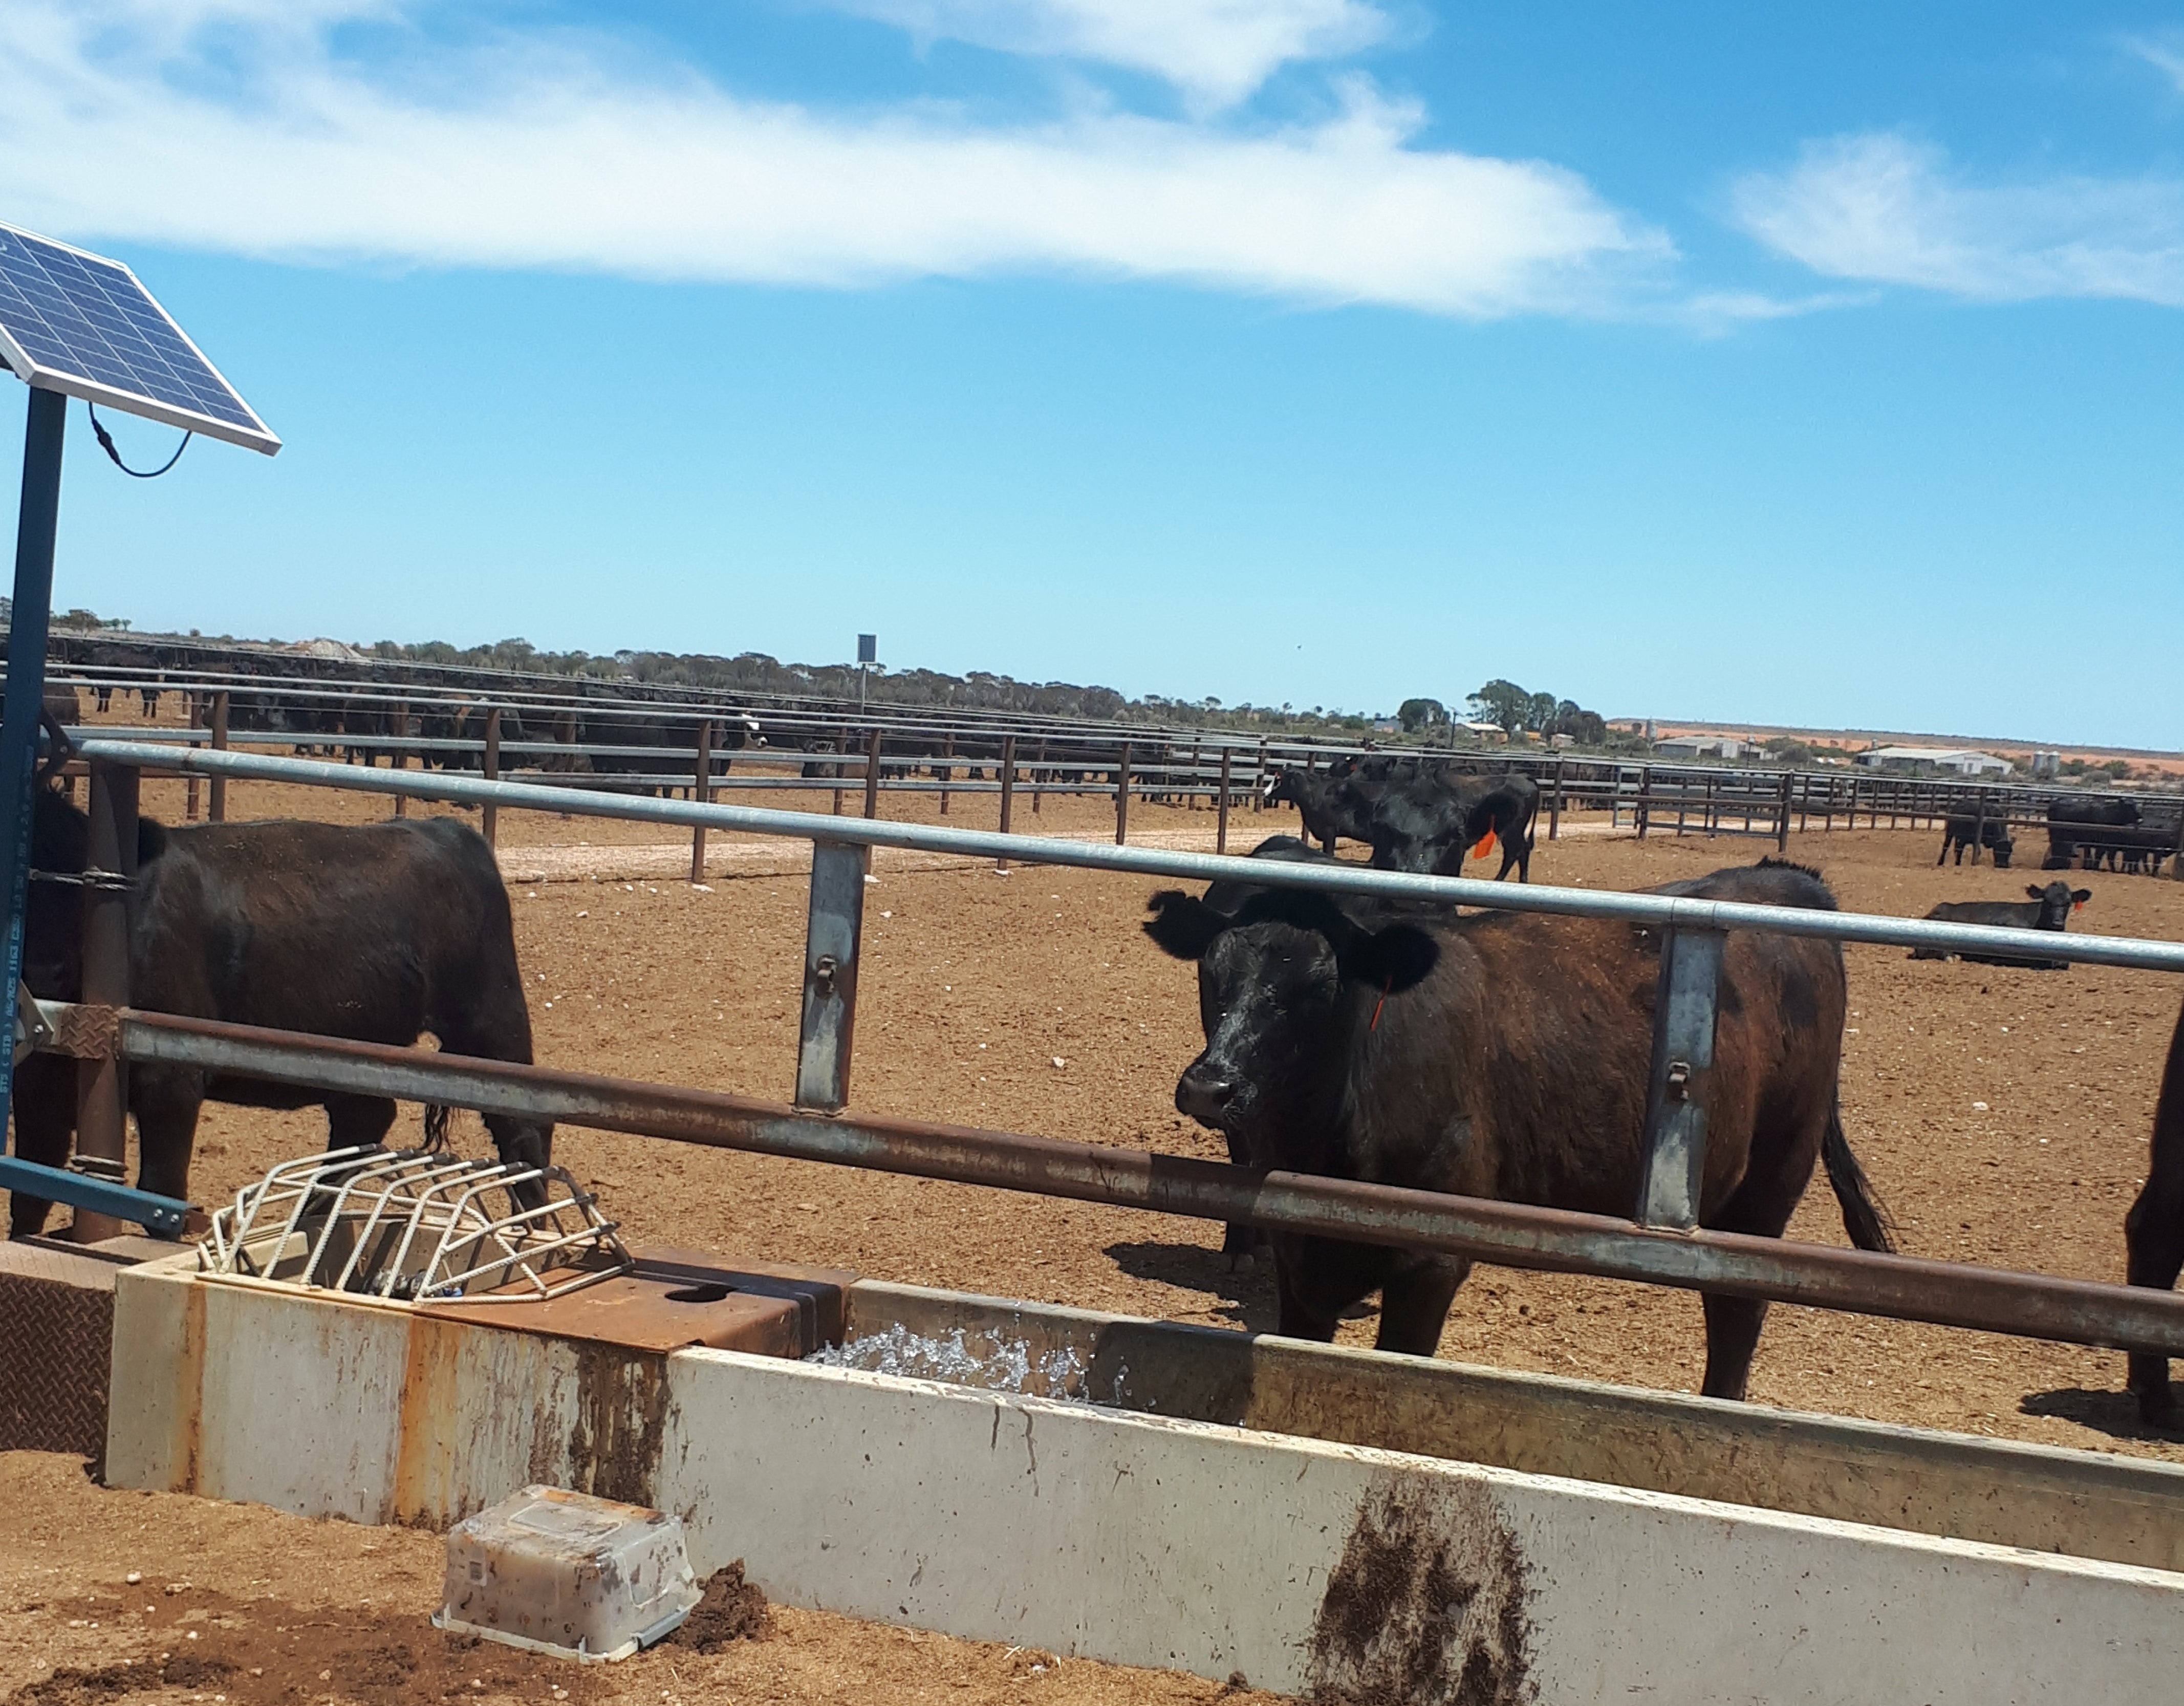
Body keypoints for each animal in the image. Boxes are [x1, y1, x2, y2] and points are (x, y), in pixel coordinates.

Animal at [8, 718, 551, 1237]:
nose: (45, 967)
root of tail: (447, 831)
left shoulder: (171, 1079)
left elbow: (161, 1188)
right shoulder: (37, 1081)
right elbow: (29, 1195)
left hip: (490, 1017)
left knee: (523, 1130)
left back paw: (535, 1232)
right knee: (362, 1124)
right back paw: (309, 1218)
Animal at [1143, 853, 1895, 1399]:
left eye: (1318, 985)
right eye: (1212, 972)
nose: (1210, 1085)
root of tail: (1785, 879)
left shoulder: (1430, 1262)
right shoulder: (1299, 1255)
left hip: (1770, 1182)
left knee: (1735, 1316)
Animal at [1937, 813, 2014, 868]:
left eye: (2010, 852)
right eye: (1998, 850)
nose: (2002, 866)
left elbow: (1977, 852)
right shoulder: (1966, 838)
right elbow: (1962, 850)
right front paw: (1958, 864)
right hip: (1950, 832)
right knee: (1946, 846)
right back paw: (1940, 862)